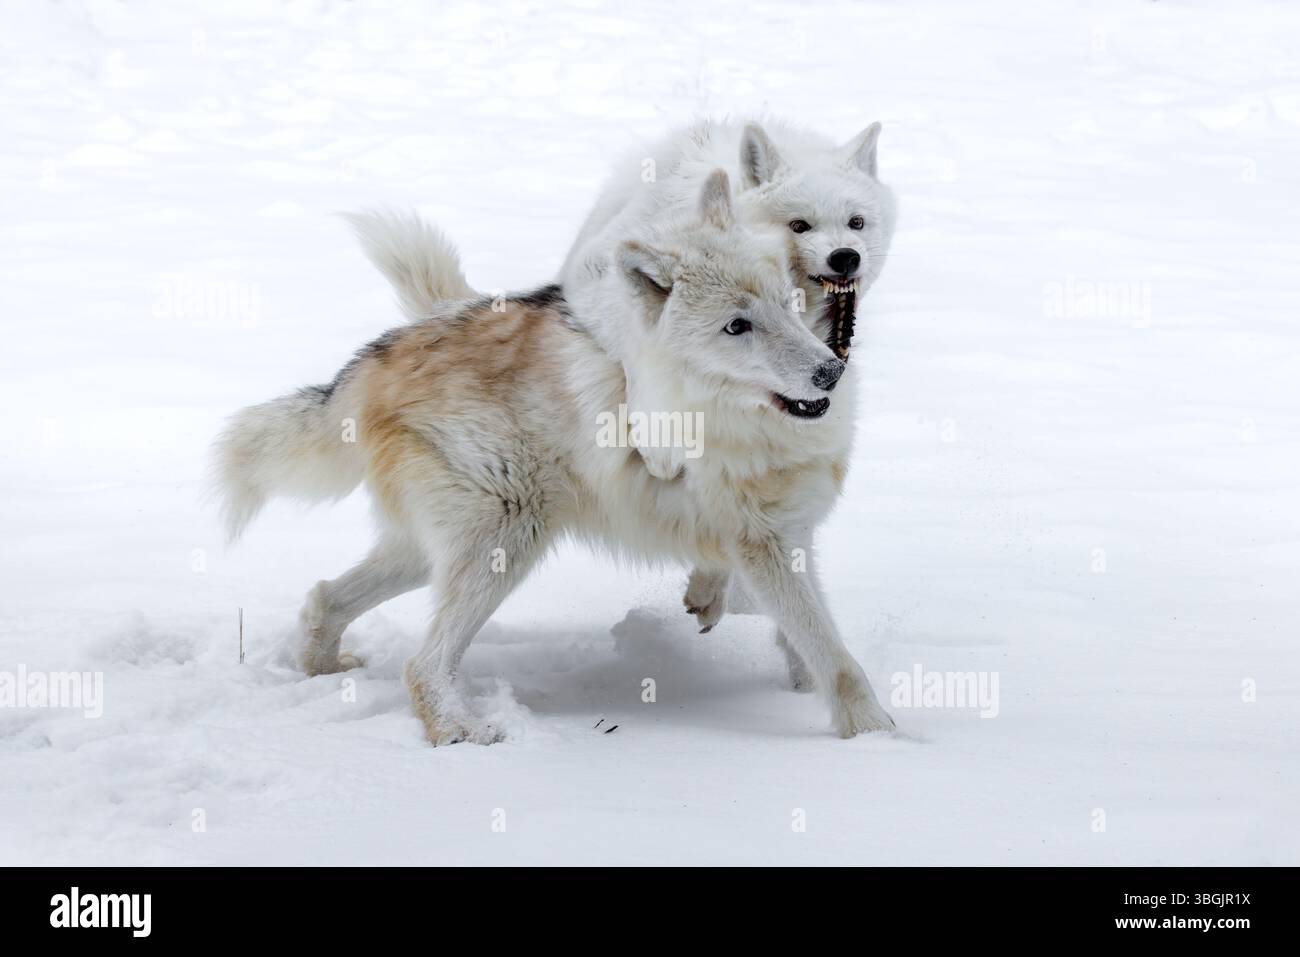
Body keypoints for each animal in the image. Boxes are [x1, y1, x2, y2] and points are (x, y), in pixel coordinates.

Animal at [213, 171, 895, 744]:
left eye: (785, 302)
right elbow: (835, 658)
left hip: (432, 551)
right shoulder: (767, 544)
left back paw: (325, 669)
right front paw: (876, 739)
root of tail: (377, 358)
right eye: (736, 327)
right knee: (422, 664)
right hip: (504, 541)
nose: (830, 374)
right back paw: (461, 732)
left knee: (325, 595)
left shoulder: (772, 531)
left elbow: (790, 634)